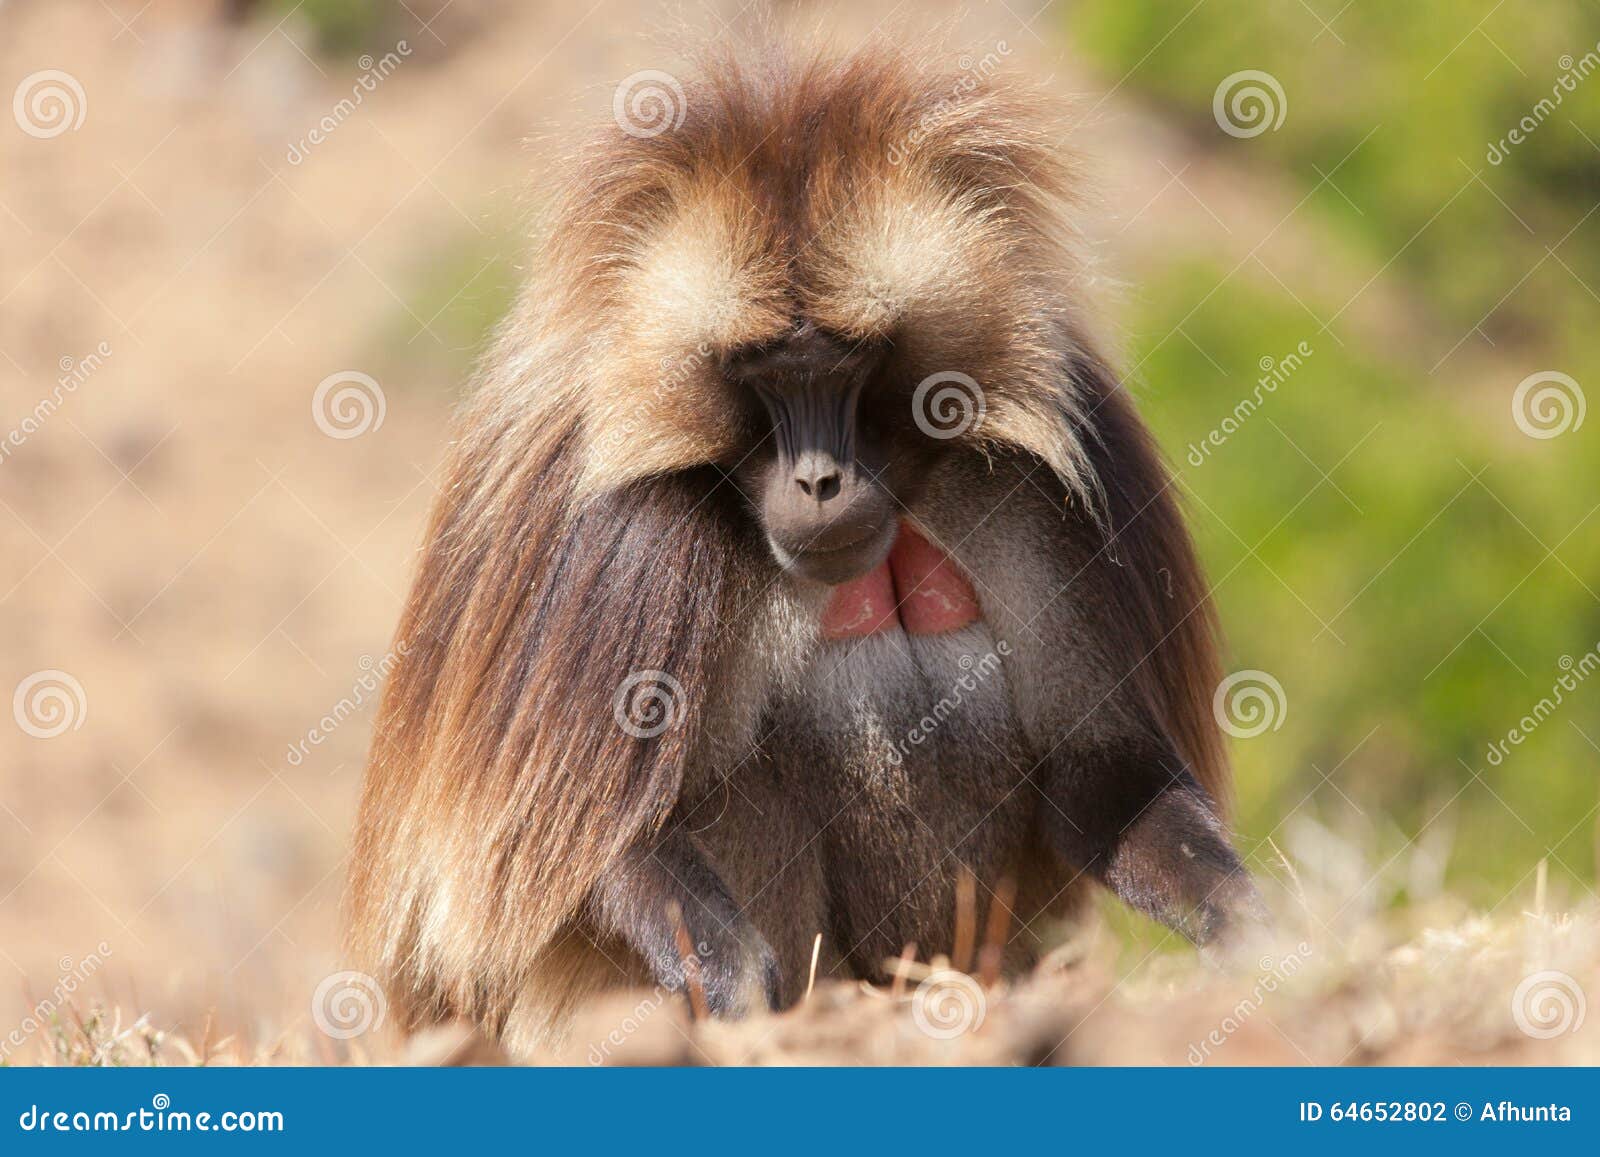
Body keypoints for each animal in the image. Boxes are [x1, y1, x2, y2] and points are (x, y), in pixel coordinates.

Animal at [345, 41, 1262, 1057]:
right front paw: (740, 997)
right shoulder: (625, 545)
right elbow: (574, 853)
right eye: (768, 376)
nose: (820, 481)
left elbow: (1100, 771)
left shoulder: (1060, 479)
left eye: (847, 365)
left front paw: (1246, 919)